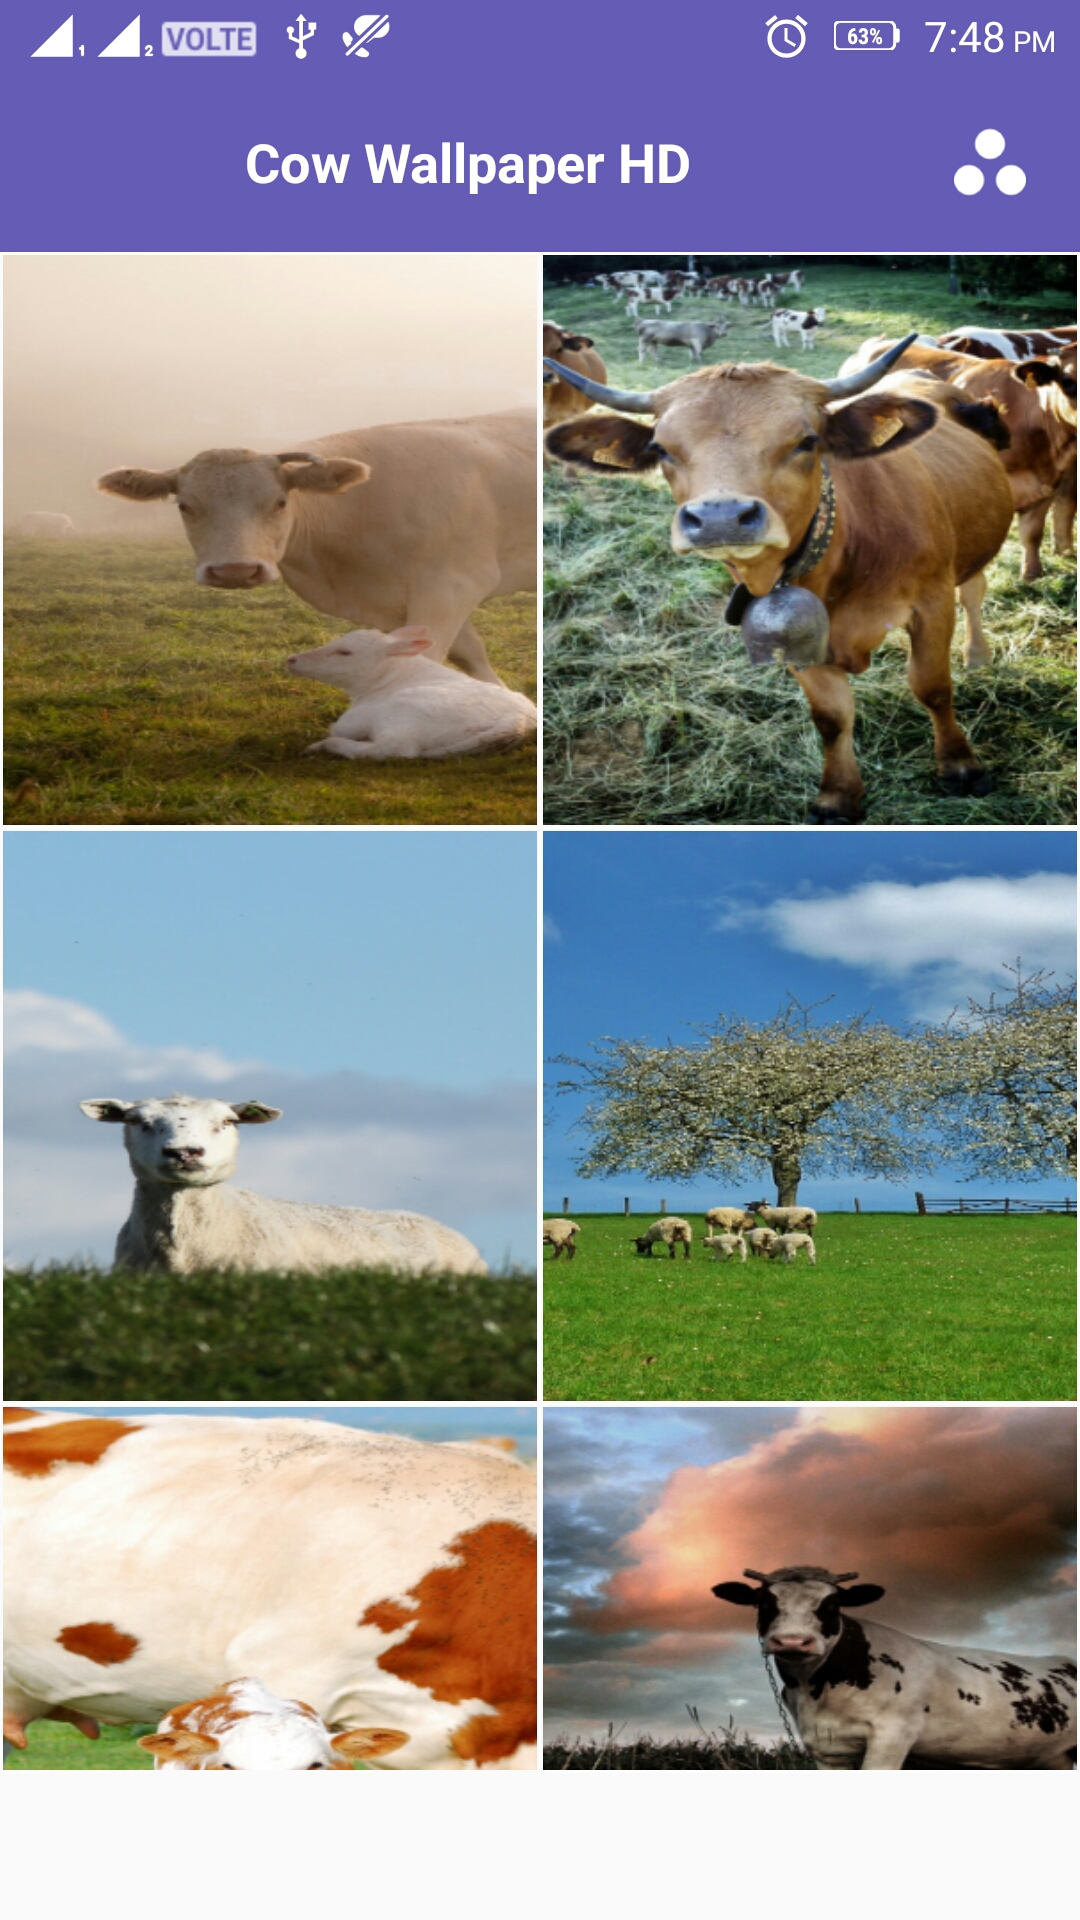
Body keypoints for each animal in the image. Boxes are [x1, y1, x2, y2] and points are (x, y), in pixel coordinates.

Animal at [97, 410, 536, 685]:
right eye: (185, 506)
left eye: (280, 502)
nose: (234, 571)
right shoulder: (396, 605)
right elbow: (469, 653)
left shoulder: (452, 586)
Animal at [543, 336, 1015, 822]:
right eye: (660, 449)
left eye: (807, 441)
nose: (721, 517)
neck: (845, 557)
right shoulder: (798, 640)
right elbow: (831, 717)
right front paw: (838, 795)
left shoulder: (931, 604)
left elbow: (933, 687)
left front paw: (961, 766)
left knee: (973, 592)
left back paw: (977, 654)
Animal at [712, 1565, 1076, 1770]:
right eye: (763, 1602)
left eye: (832, 1604)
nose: (792, 1641)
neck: (815, 1693)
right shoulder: (826, 1748)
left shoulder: (893, 1734)